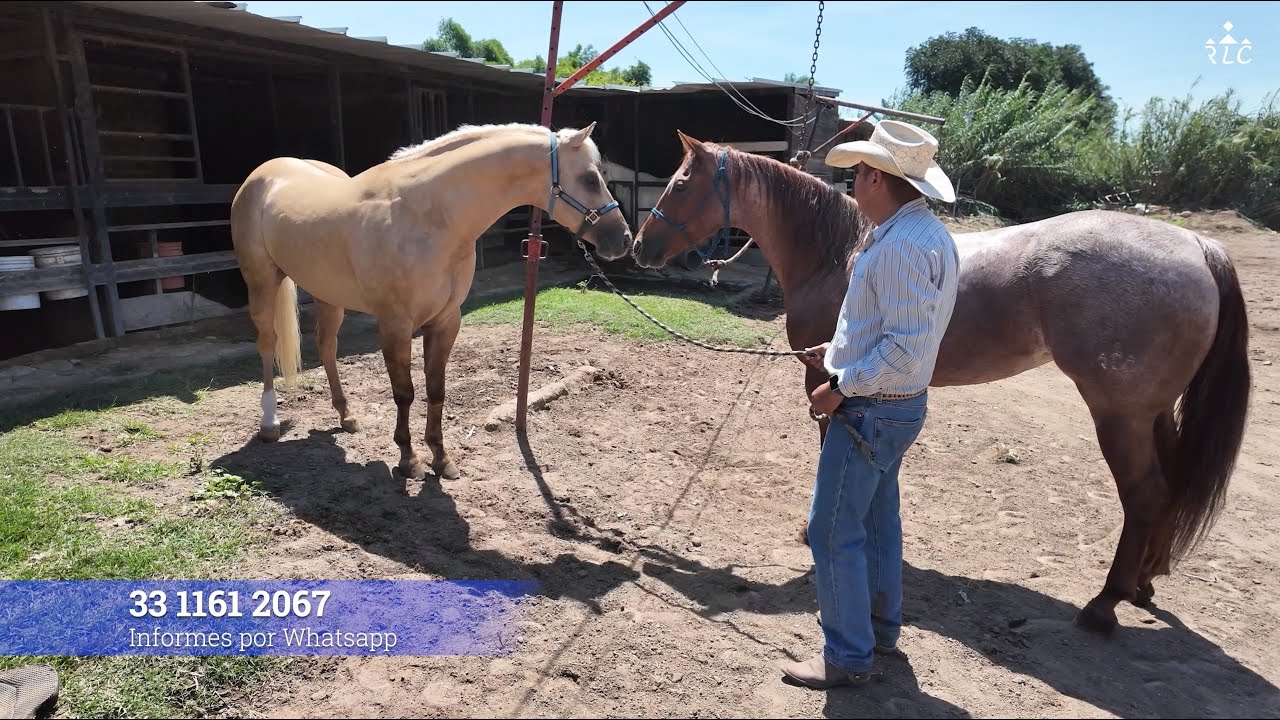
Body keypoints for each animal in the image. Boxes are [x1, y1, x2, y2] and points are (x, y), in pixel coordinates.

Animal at [230, 121, 632, 481]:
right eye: (590, 179)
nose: (624, 239)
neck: (428, 217)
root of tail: (268, 173)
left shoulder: (445, 321)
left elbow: (436, 390)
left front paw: (441, 458)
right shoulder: (395, 325)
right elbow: (405, 393)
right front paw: (408, 460)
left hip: (328, 294)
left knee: (326, 346)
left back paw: (347, 416)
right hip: (262, 284)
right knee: (267, 344)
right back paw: (269, 422)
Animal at [629, 130, 1252, 634]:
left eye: (680, 183)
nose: (639, 248)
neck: (838, 252)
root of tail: (1199, 247)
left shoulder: (826, 378)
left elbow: (829, 447)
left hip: (1120, 418)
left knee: (1144, 495)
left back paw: (1104, 605)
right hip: (1155, 413)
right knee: (1170, 487)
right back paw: (1146, 582)